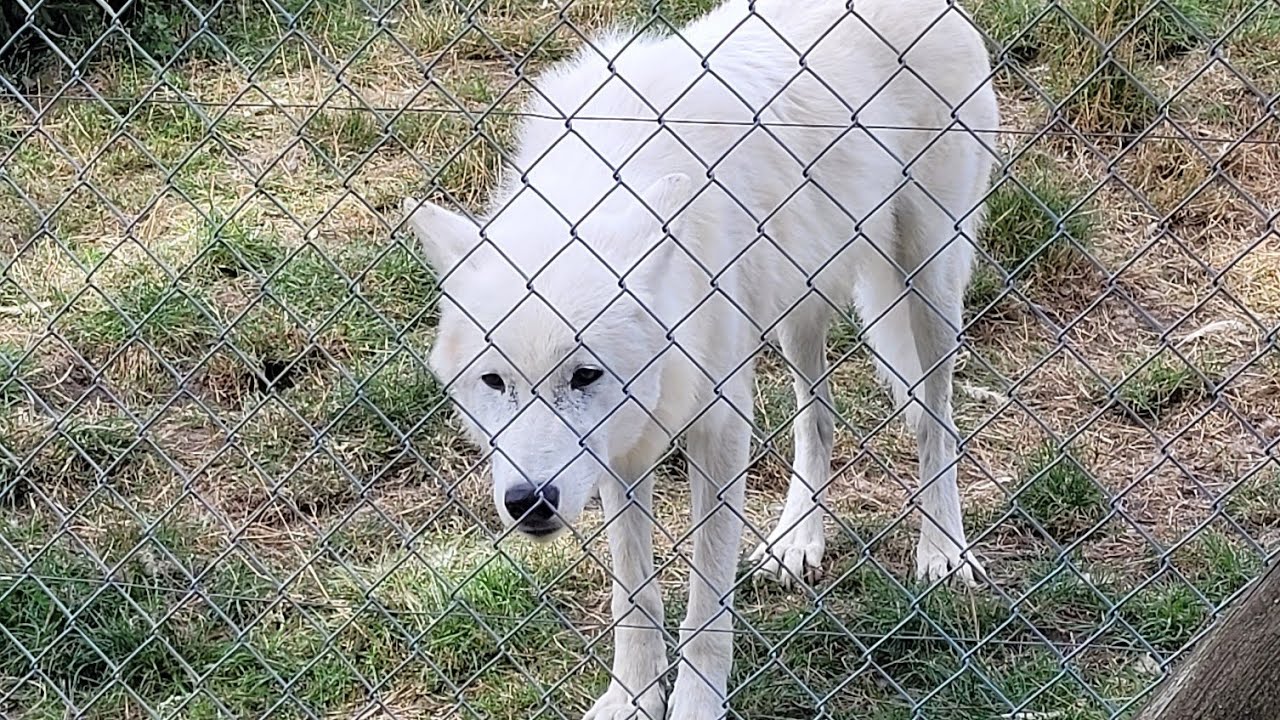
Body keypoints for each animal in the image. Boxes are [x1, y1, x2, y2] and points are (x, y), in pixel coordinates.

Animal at [402, 0, 999, 716]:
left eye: (584, 375)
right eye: (495, 382)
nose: (528, 501)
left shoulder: (719, 430)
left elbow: (707, 606)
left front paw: (693, 704)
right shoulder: (623, 449)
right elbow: (633, 597)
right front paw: (631, 697)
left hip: (927, 285)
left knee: (937, 421)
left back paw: (943, 550)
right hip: (798, 310)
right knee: (817, 415)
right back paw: (798, 540)